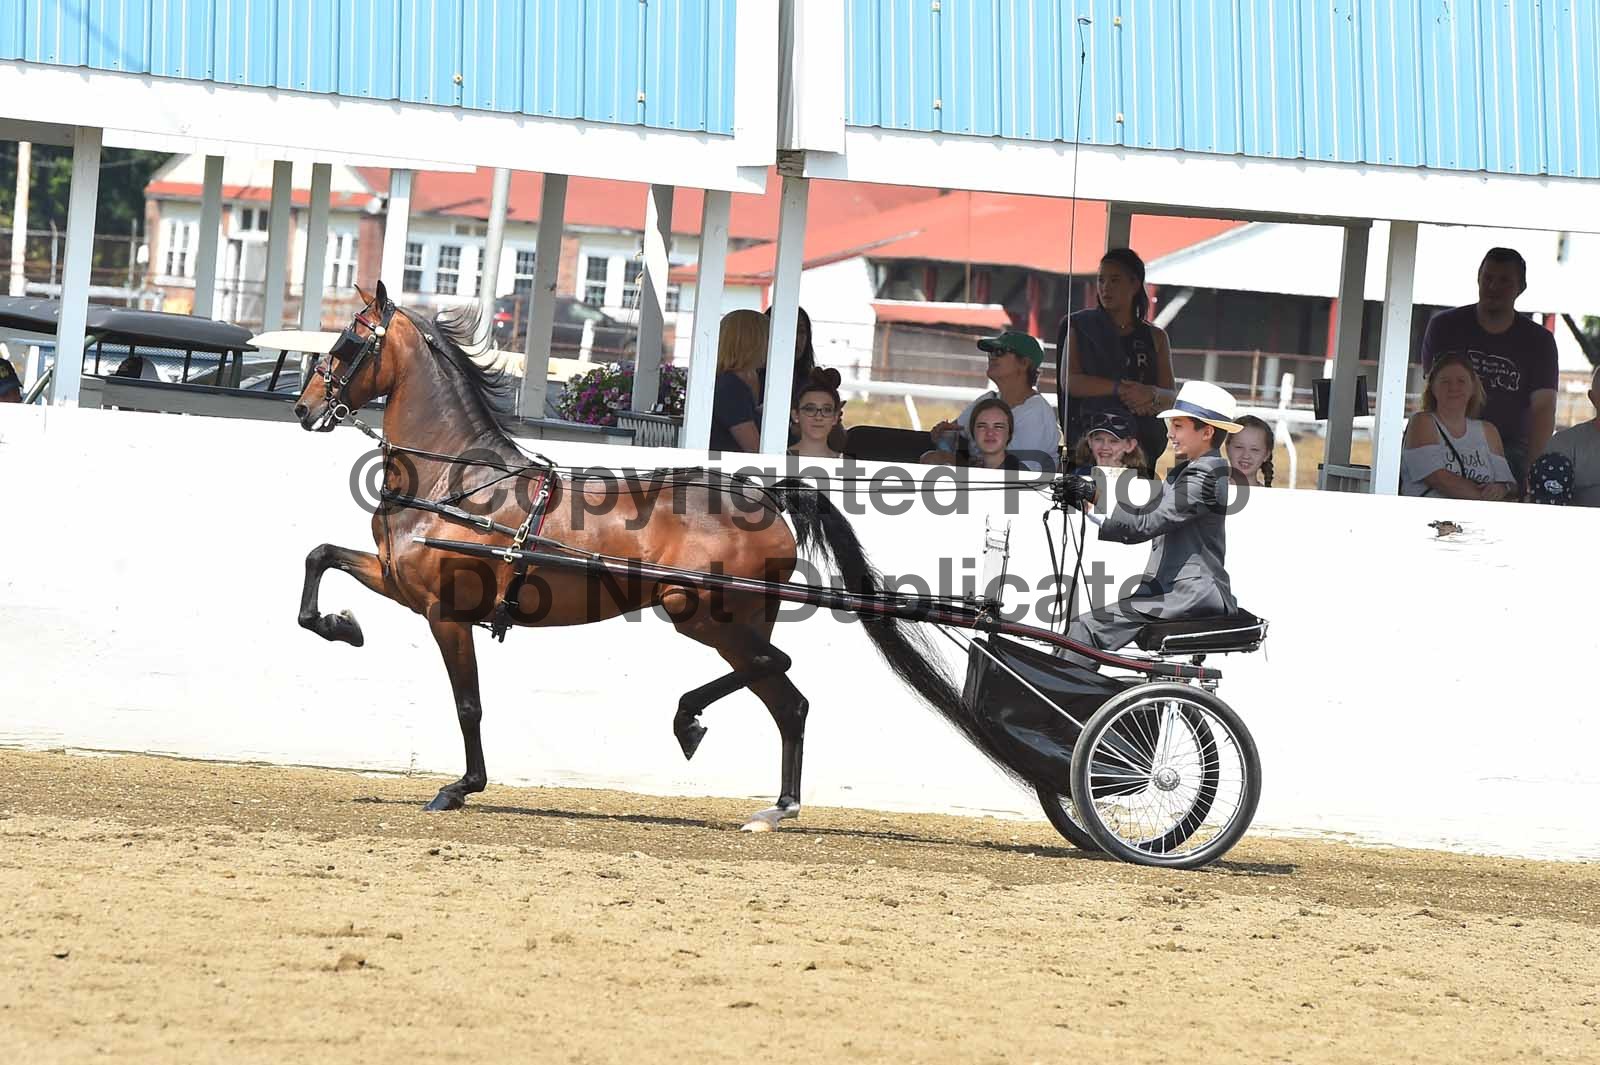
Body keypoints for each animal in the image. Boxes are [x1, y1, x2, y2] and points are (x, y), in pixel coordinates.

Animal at [291, 283, 982, 829]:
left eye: (348, 343)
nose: (304, 408)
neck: (457, 483)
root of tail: (763, 494)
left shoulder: (446, 613)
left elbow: (468, 704)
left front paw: (461, 787)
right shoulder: (397, 581)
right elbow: (319, 558)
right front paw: (341, 626)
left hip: (702, 612)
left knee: (775, 669)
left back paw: (690, 722)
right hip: (734, 619)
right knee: (787, 698)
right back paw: (776, 804)